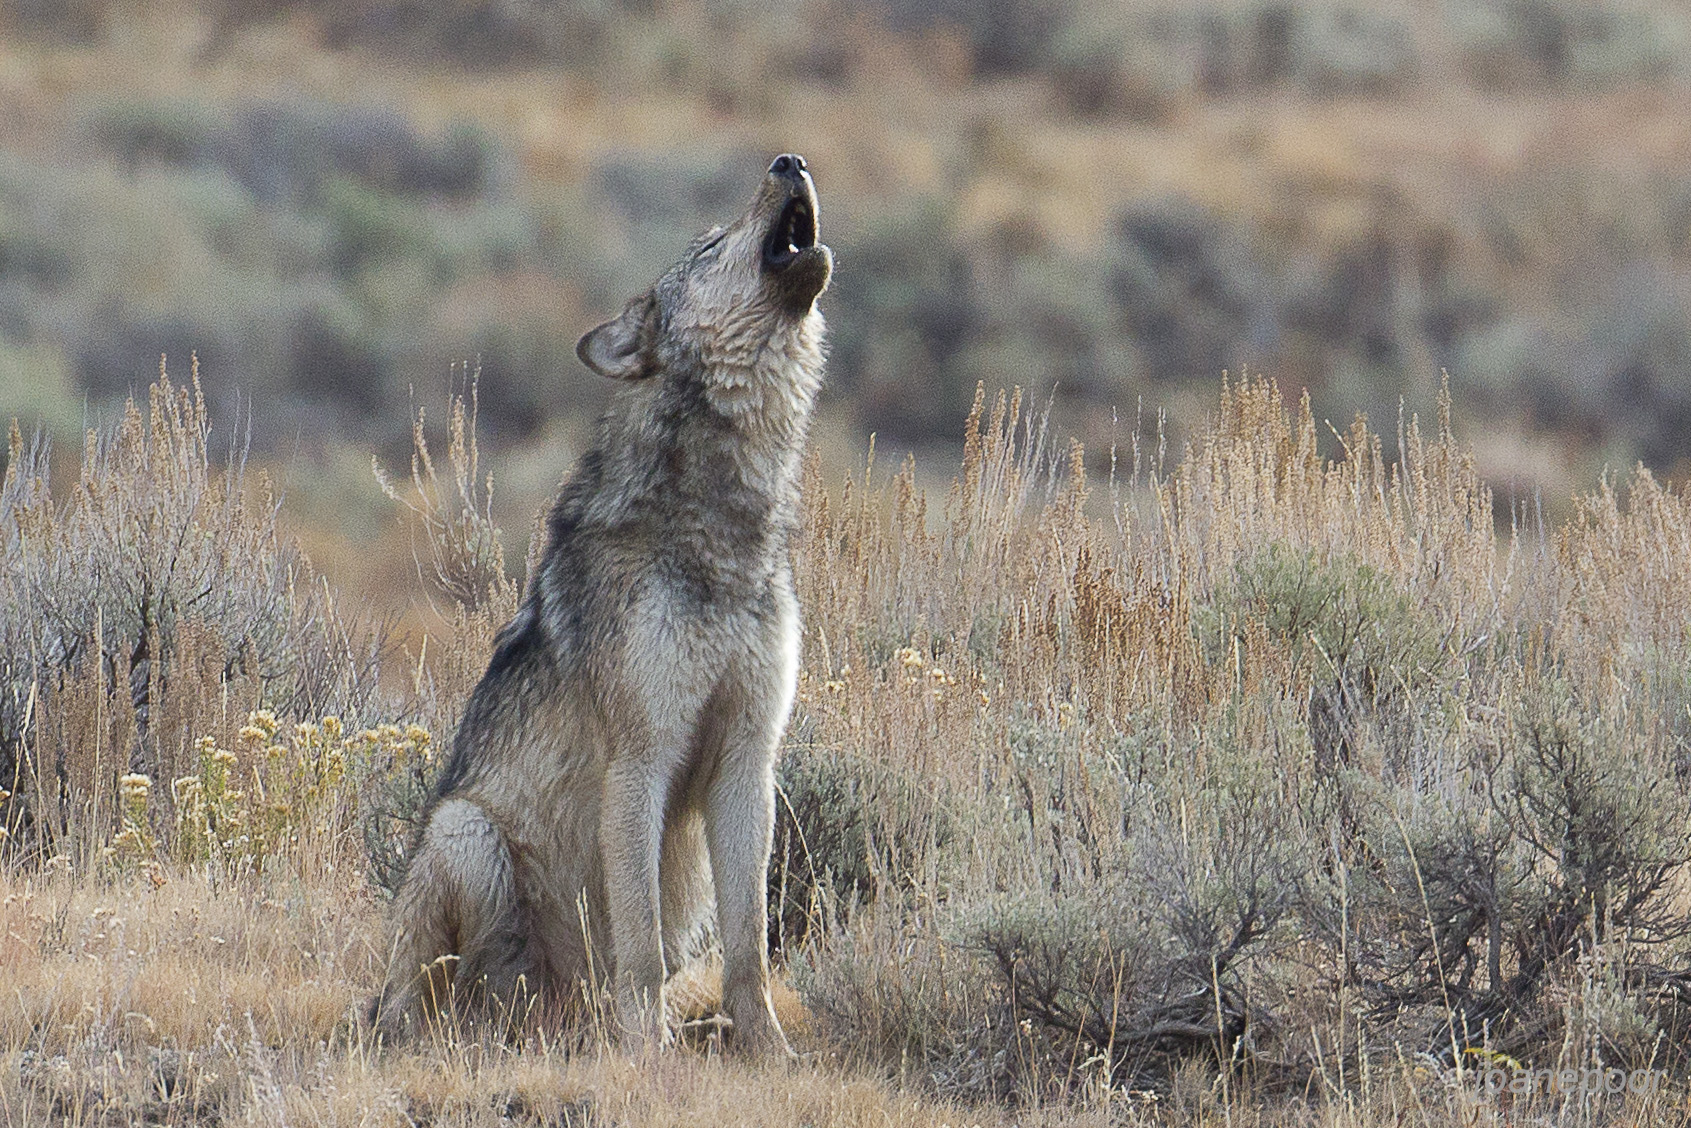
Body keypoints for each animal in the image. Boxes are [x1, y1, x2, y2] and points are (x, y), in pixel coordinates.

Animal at [370, 154, 831, 1059]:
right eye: (710, 244)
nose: (789, 160)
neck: (719, 533)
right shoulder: (639, 760)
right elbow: (640, 947)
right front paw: (648, 1056)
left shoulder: (747, 762)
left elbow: (750, 952)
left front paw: (769, 1054)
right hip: (464, 835)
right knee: (465, 995)